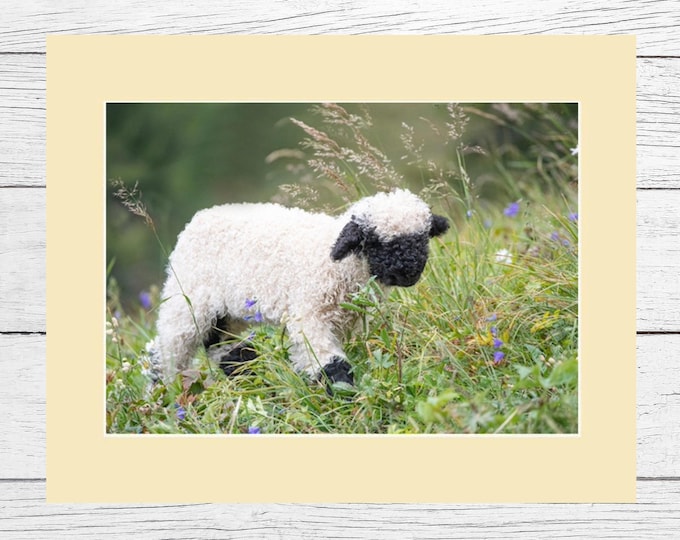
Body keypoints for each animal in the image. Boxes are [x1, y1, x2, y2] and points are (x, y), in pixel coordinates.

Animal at [153, 188, 449, 390]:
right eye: (375, 241)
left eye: (422, 238)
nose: (409, 273)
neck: (338, 265)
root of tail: (198, 219)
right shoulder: (309, 312)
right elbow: (324, 357)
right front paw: (343, 391)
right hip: (187, 297)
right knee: (169, 347)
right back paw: (163, 392)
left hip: (227, 309)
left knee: (219, 341)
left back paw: (247, 372)